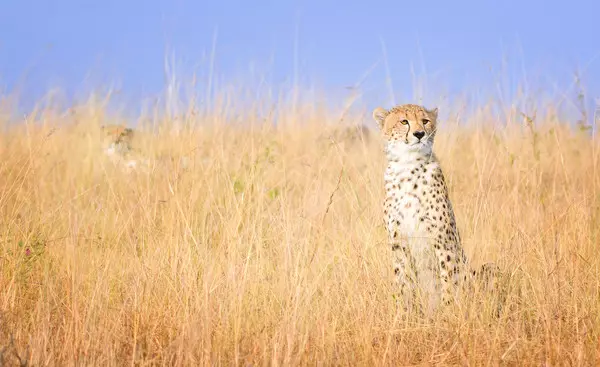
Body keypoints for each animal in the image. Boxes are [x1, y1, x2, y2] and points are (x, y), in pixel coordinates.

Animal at [372, 103, 500, 316]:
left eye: (425, 121)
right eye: (404, 121)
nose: (419, 134)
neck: (407, 165)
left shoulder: (442, 238)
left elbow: (447, 277)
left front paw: (448, 311)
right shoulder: (398, 241)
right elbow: (403, 281)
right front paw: (403, 315)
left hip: (489, 268)